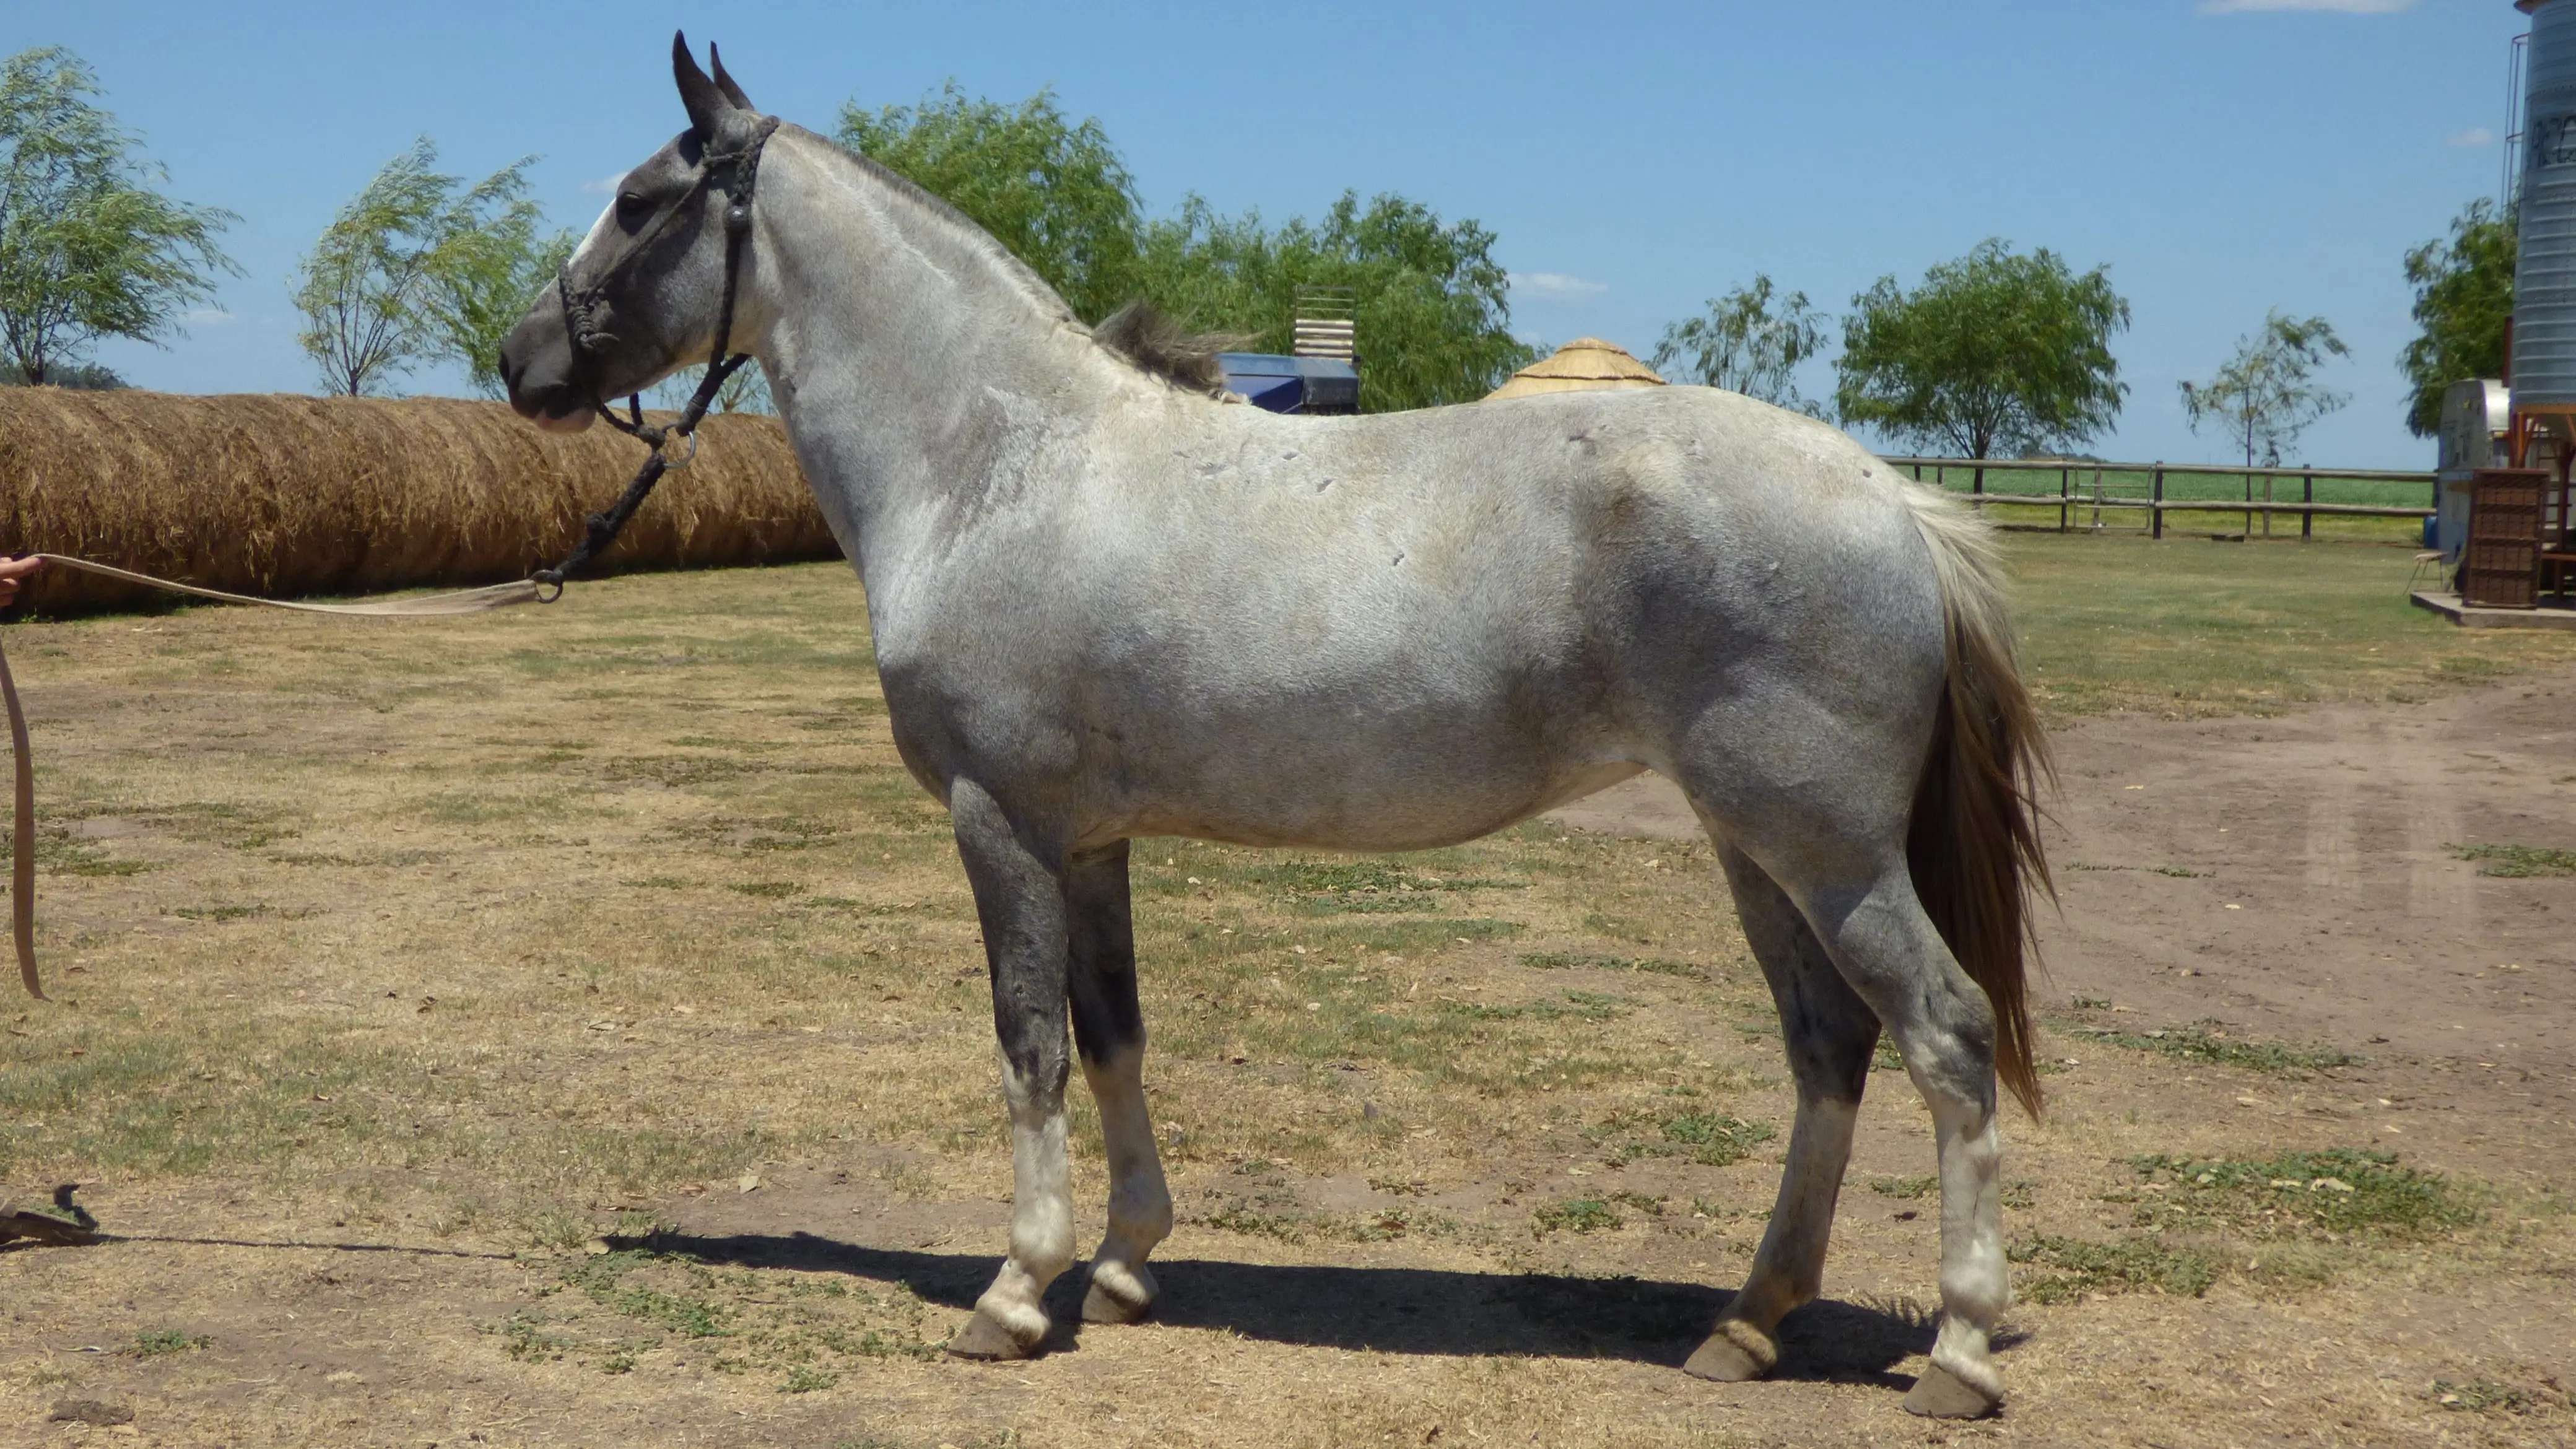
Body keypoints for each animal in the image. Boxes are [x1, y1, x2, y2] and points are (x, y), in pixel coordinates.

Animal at [500, 37, 2053, 1421]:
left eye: (637, 198)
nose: (521, 362)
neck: (1001, 462)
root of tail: (1894, 498)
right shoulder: (1090, 843)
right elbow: (1113, 1036)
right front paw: (1125, 1266)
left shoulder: (1002, 823)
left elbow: (1027, 1047)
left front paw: (1017, 1293)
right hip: (1756, 848)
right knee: (1827, 1050)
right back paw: (1747, 1323)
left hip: (1826, 853)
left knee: (1947, 1038)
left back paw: (1958, 1354)